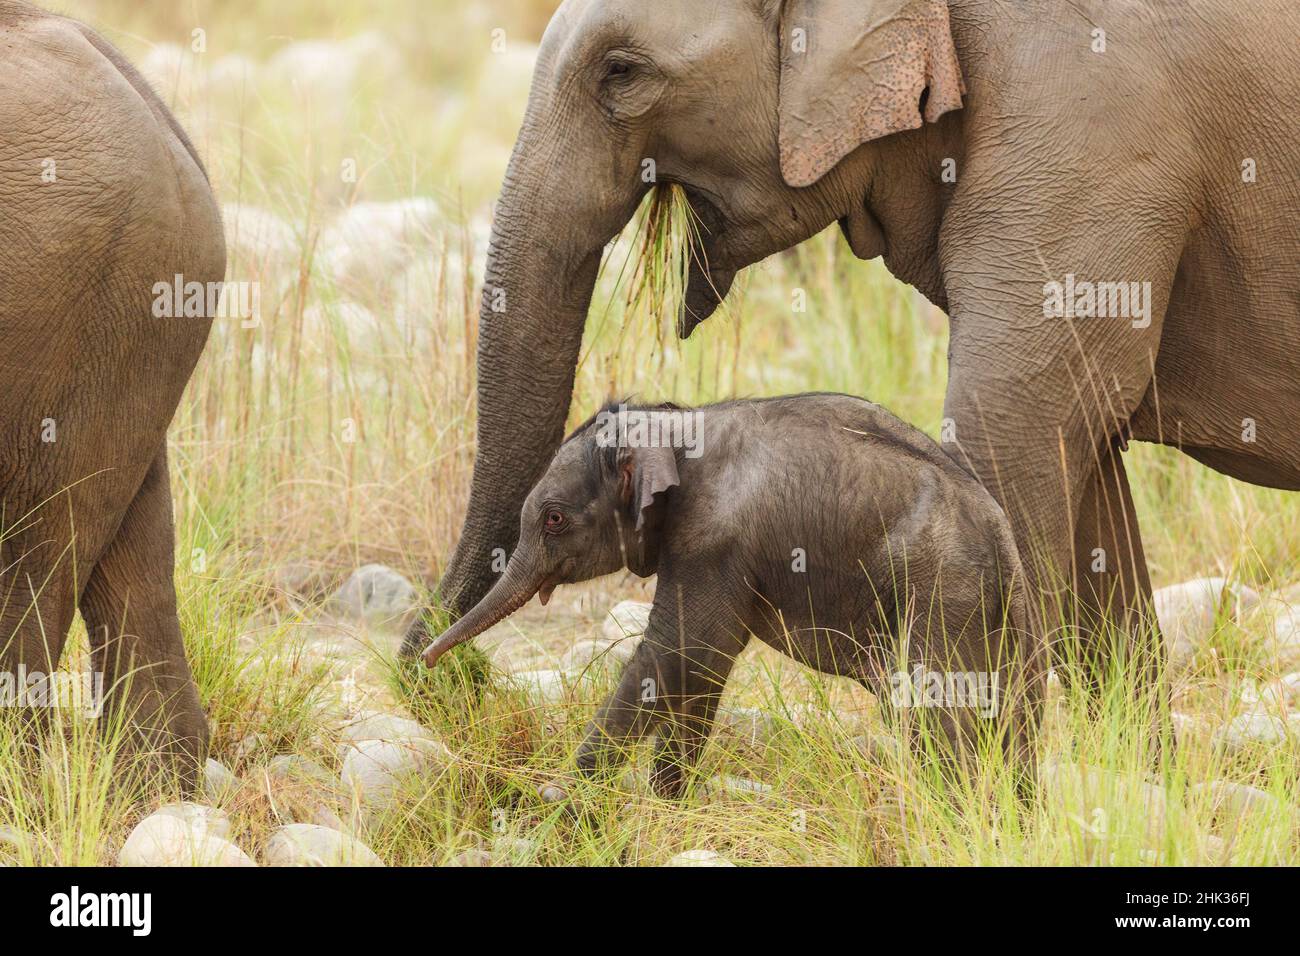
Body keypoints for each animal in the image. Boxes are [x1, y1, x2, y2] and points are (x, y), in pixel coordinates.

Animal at [423, 394, 1046, 796]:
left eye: (552, 519)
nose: (428, 662)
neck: (672, 423)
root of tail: (1002, 532)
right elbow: (699, 673)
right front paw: (667, 803)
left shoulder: (710, 540)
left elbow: (680, 655)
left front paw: (561, 799)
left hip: (942, 591)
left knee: (936, 712)